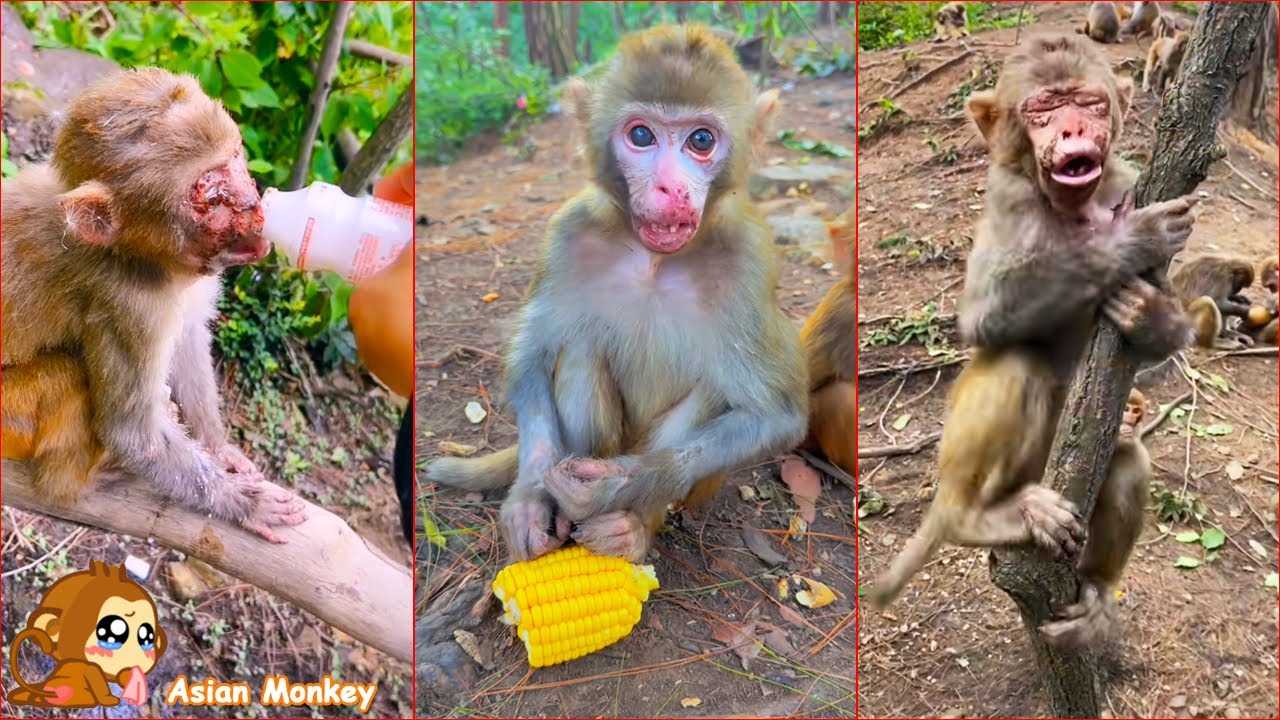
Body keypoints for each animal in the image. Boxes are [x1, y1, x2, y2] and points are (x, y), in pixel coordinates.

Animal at [0, 68, 306, 542]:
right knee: (70, 374)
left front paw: (218, 447)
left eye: (236, 158)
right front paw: (242, 503)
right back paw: (73, 485)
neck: (144, 257)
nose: (254, 205)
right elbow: (132, 432)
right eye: (209, 196)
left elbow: (190, 337)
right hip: (9, 418)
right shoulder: (129, 304)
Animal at [422, 25, 809, 564]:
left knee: (715, 391)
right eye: (641, 135)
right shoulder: (567, 234)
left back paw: (630, 524)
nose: (670, 188)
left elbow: (776, 416)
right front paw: (529, 499)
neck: (653, 261)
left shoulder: (750, 258)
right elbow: (531, 361)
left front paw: (614, 488)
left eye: (701, 140)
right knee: (579, 349)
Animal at [865, 35, 1195, 615]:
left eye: (1088, 103)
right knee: (1018, 362)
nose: (1073, 130)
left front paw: (1153, 319)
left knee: (1129, 459)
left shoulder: (1128, 179)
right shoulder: (1007, 199)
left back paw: (1094, 590)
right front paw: (1131, 238)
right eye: (1043, 109)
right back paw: (978, 516)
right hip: (988, 466)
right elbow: (986, 318)